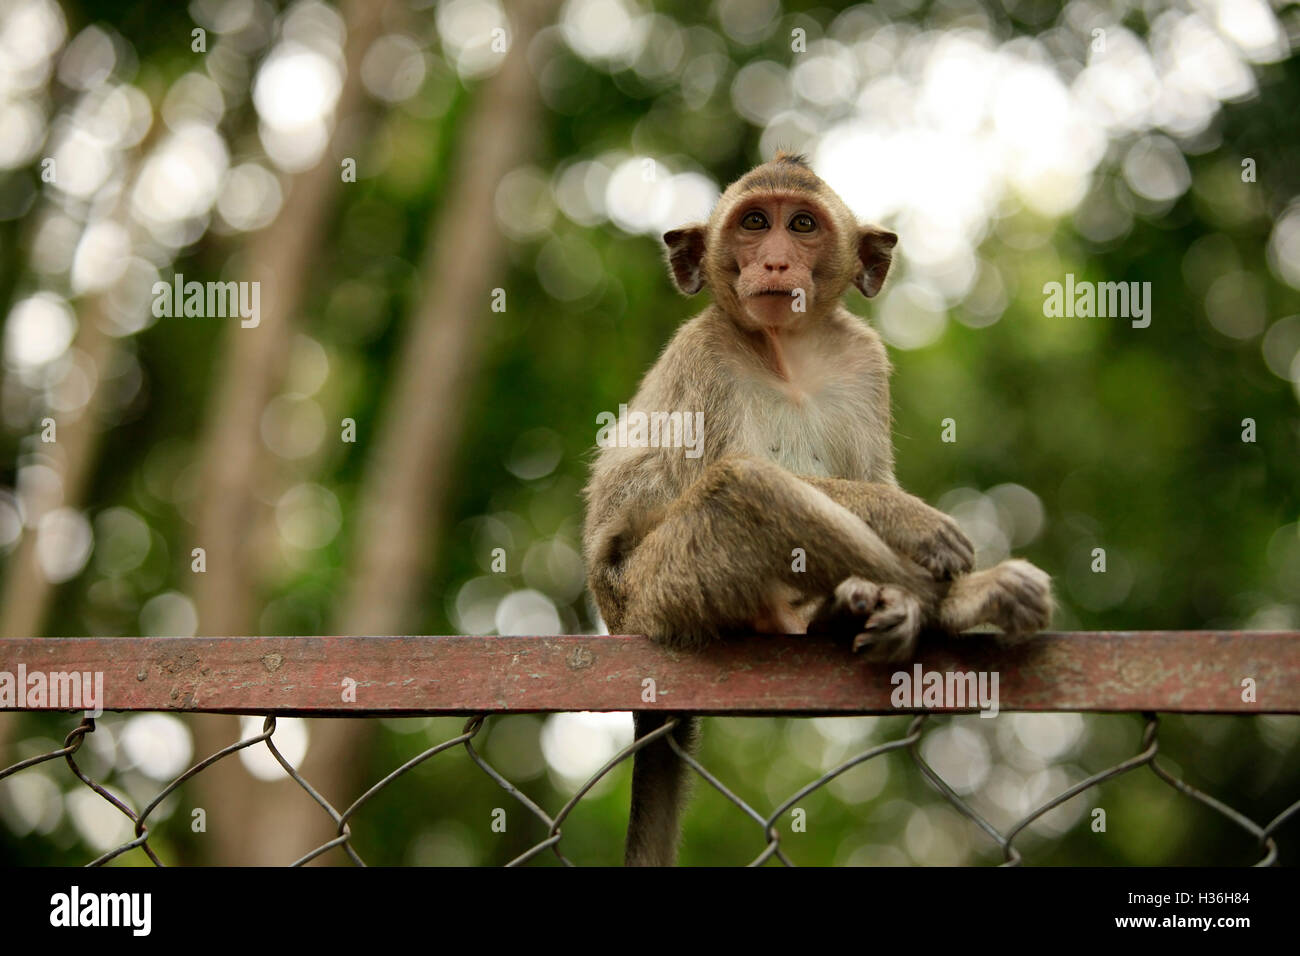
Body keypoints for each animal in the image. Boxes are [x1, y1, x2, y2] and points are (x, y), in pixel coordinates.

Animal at [581, 152, 1053, 866]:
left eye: (801, 225)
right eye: (754, 223)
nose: (775, 262)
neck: (787, 351)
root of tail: (618, 620)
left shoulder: (864, 360)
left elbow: (863, 467)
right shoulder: (705, 357)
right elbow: (730, 472)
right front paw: (909, 518)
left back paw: (857, 607)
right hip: (659, 592)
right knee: (745, 490)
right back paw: (960, 599)